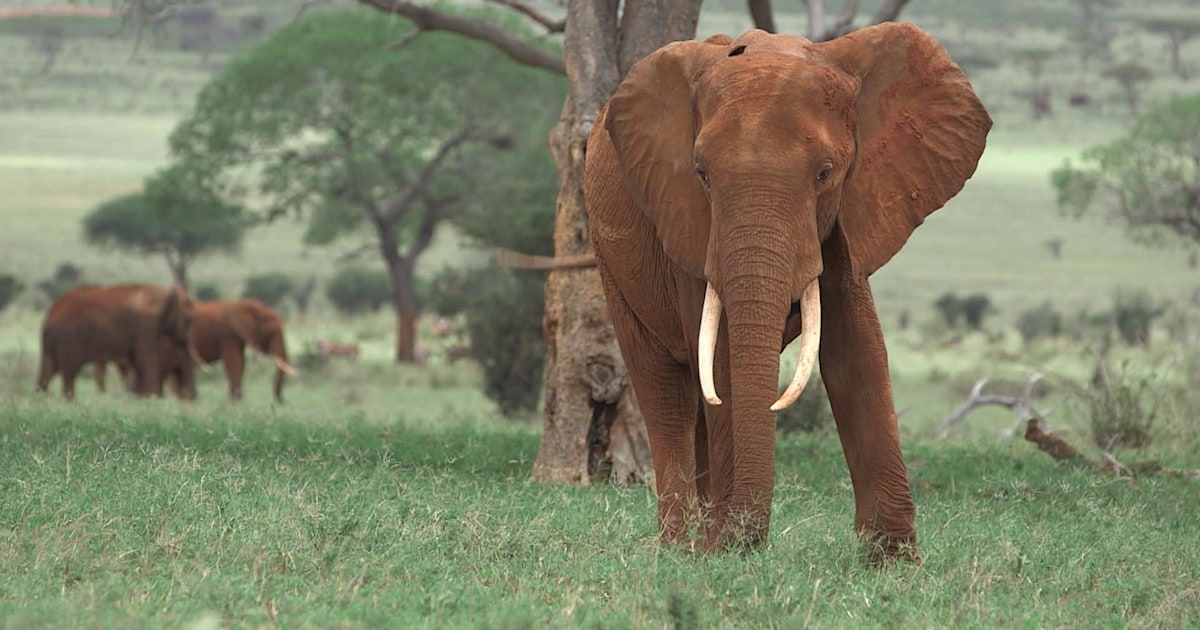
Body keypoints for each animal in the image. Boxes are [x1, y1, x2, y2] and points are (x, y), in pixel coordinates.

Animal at [37, 283, 195, 399]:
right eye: (187, 320)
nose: (184, 340)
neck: (164, 293)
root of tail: (49, 316)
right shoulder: (146, 324)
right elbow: (145, 358)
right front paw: (151, 397)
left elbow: (137, 360)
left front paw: (139, 398)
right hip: (69, 339)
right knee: (69, 371)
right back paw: (69, 401)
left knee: (49, 370)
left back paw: (41, 399)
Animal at [583, 23, 991, 560]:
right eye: (702, 175)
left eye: (824, 174)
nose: (732, 543)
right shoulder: (685, 220)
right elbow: (721, 359)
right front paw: (722, 548)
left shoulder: (849, 212)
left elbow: (858, 350)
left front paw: (895, 562)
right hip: (611, 257)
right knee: (666, 390)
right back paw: (678, 545)